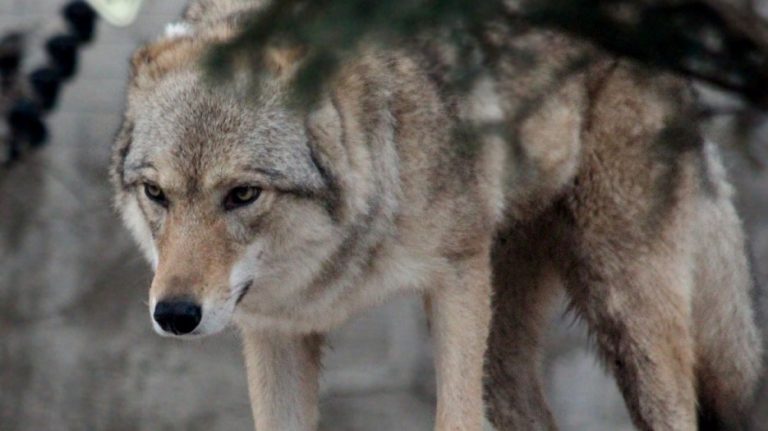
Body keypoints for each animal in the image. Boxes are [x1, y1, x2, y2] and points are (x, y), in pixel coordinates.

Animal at [110, 0, 763, 430]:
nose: (175, 315)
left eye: (243, 194)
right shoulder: (278, 329)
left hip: (622, 308)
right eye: (157, 194)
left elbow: (454, 417)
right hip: (505, 355)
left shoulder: (456, 277)